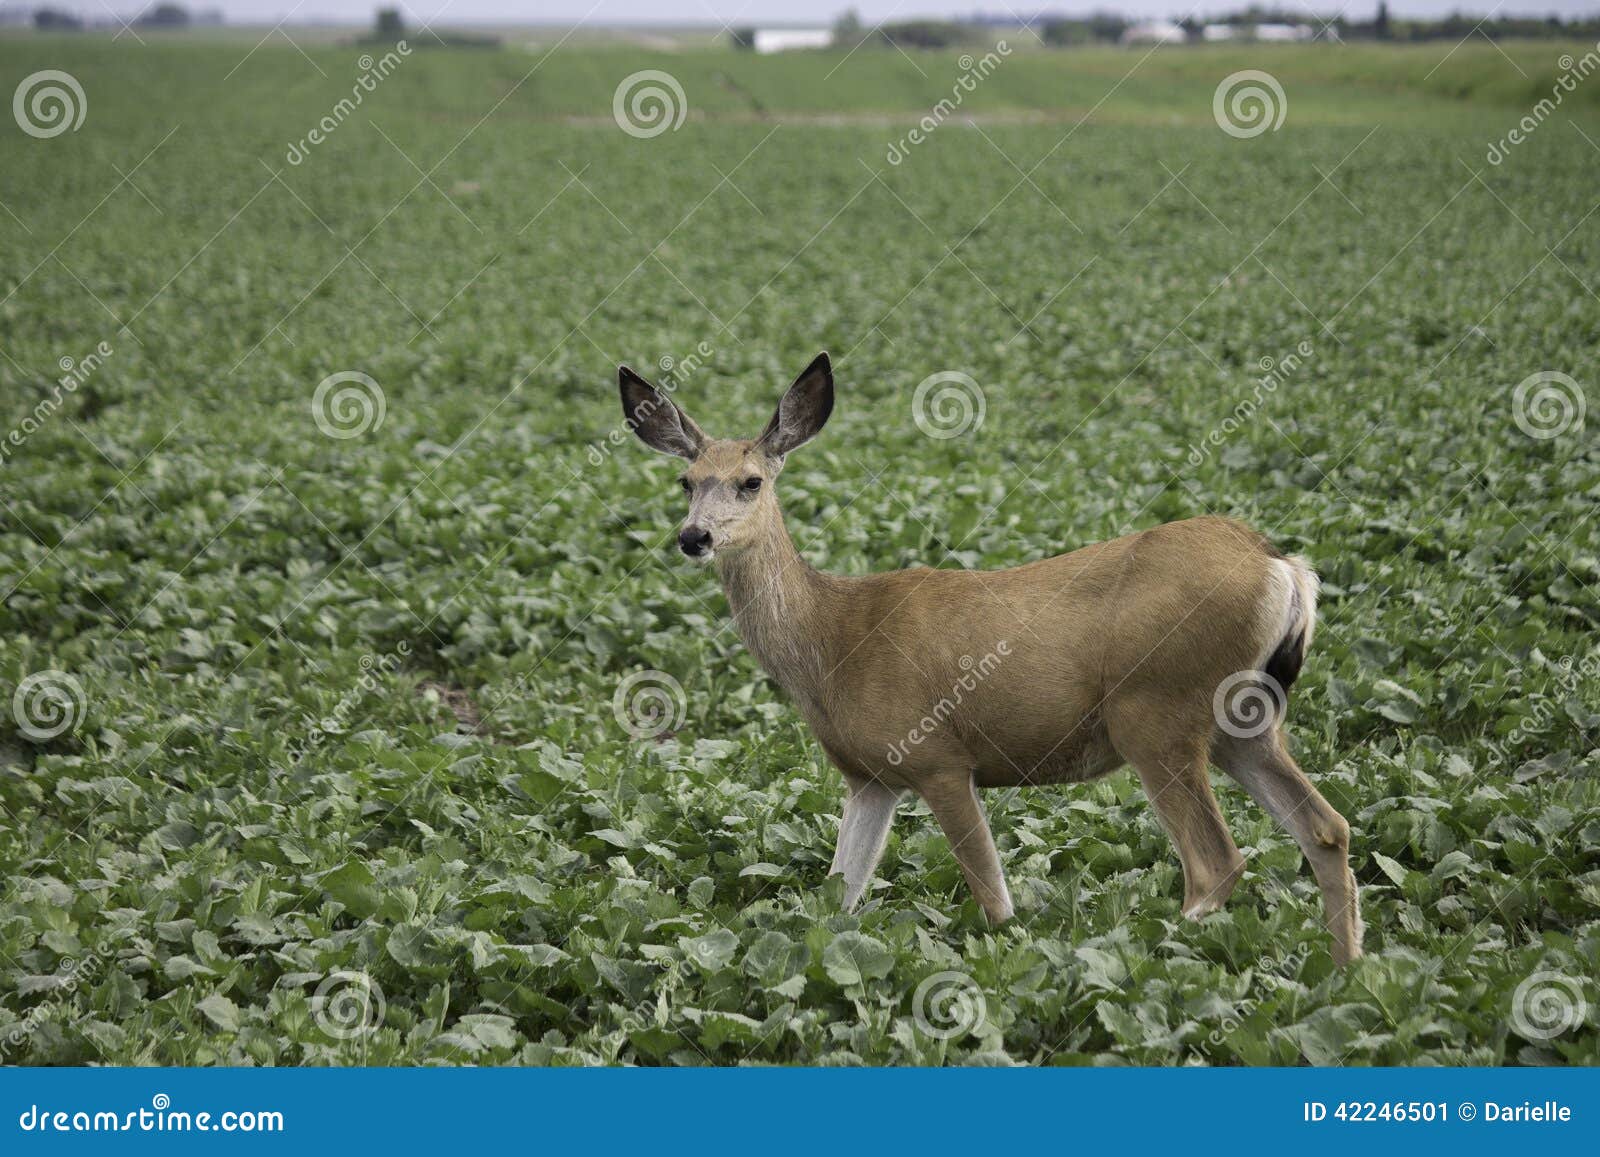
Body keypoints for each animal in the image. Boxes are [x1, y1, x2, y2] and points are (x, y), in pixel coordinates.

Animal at [618, 352, 1363, 965]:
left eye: (750, 481)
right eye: (687, 480)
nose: (693, 537)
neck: (831, 640)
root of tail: (1284, 566)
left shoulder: (939, 757)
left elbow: (995, 901)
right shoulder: (870, 777)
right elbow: (839, 897)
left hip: (1156, 710)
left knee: (1217, 860)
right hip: (1244, 721)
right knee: (1326, 828)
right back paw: (1343, 973)